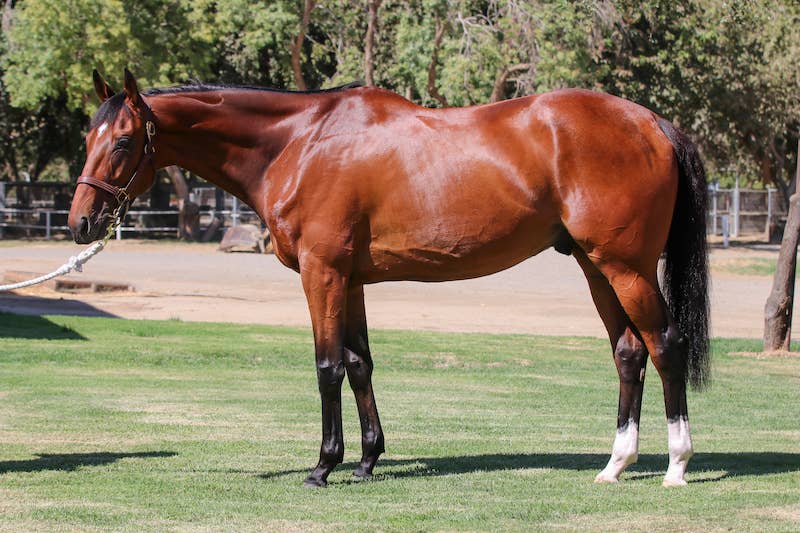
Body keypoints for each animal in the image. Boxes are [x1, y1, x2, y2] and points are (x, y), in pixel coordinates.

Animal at [69, 69, 709, 488]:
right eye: (87, 138)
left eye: (122, 141)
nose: (80, 223)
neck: (299, 142)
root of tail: (652, 122)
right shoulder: (349, 280)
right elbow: (360, 364)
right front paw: (368, 460)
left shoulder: (322, 274)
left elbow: (327, 366)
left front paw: (323, 465)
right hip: (594, 265)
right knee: (629, 352)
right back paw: (615, 465)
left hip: (625, 267)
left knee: (665, 345)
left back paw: (676, 465)